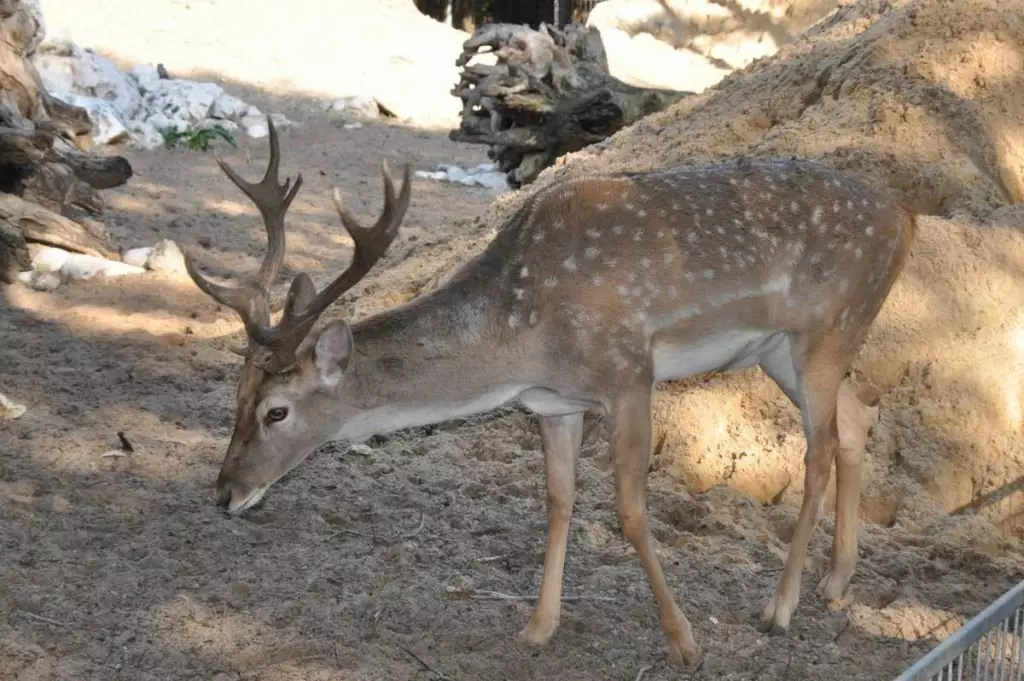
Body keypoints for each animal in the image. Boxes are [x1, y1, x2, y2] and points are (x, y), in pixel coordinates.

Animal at [188, 116, 917, 663]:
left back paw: (780, 607)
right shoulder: (554, 404)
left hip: (826, 329)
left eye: (277, 411)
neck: (523, 341)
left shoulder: (629, 372)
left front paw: (683, 640)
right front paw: (538, 628)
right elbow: (558, 501)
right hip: (781, 352)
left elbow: (629, 510)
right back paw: (835, 582)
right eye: (235, 396)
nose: (223, 492)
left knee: (818, 449)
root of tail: (906, 219)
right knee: (855, 422)